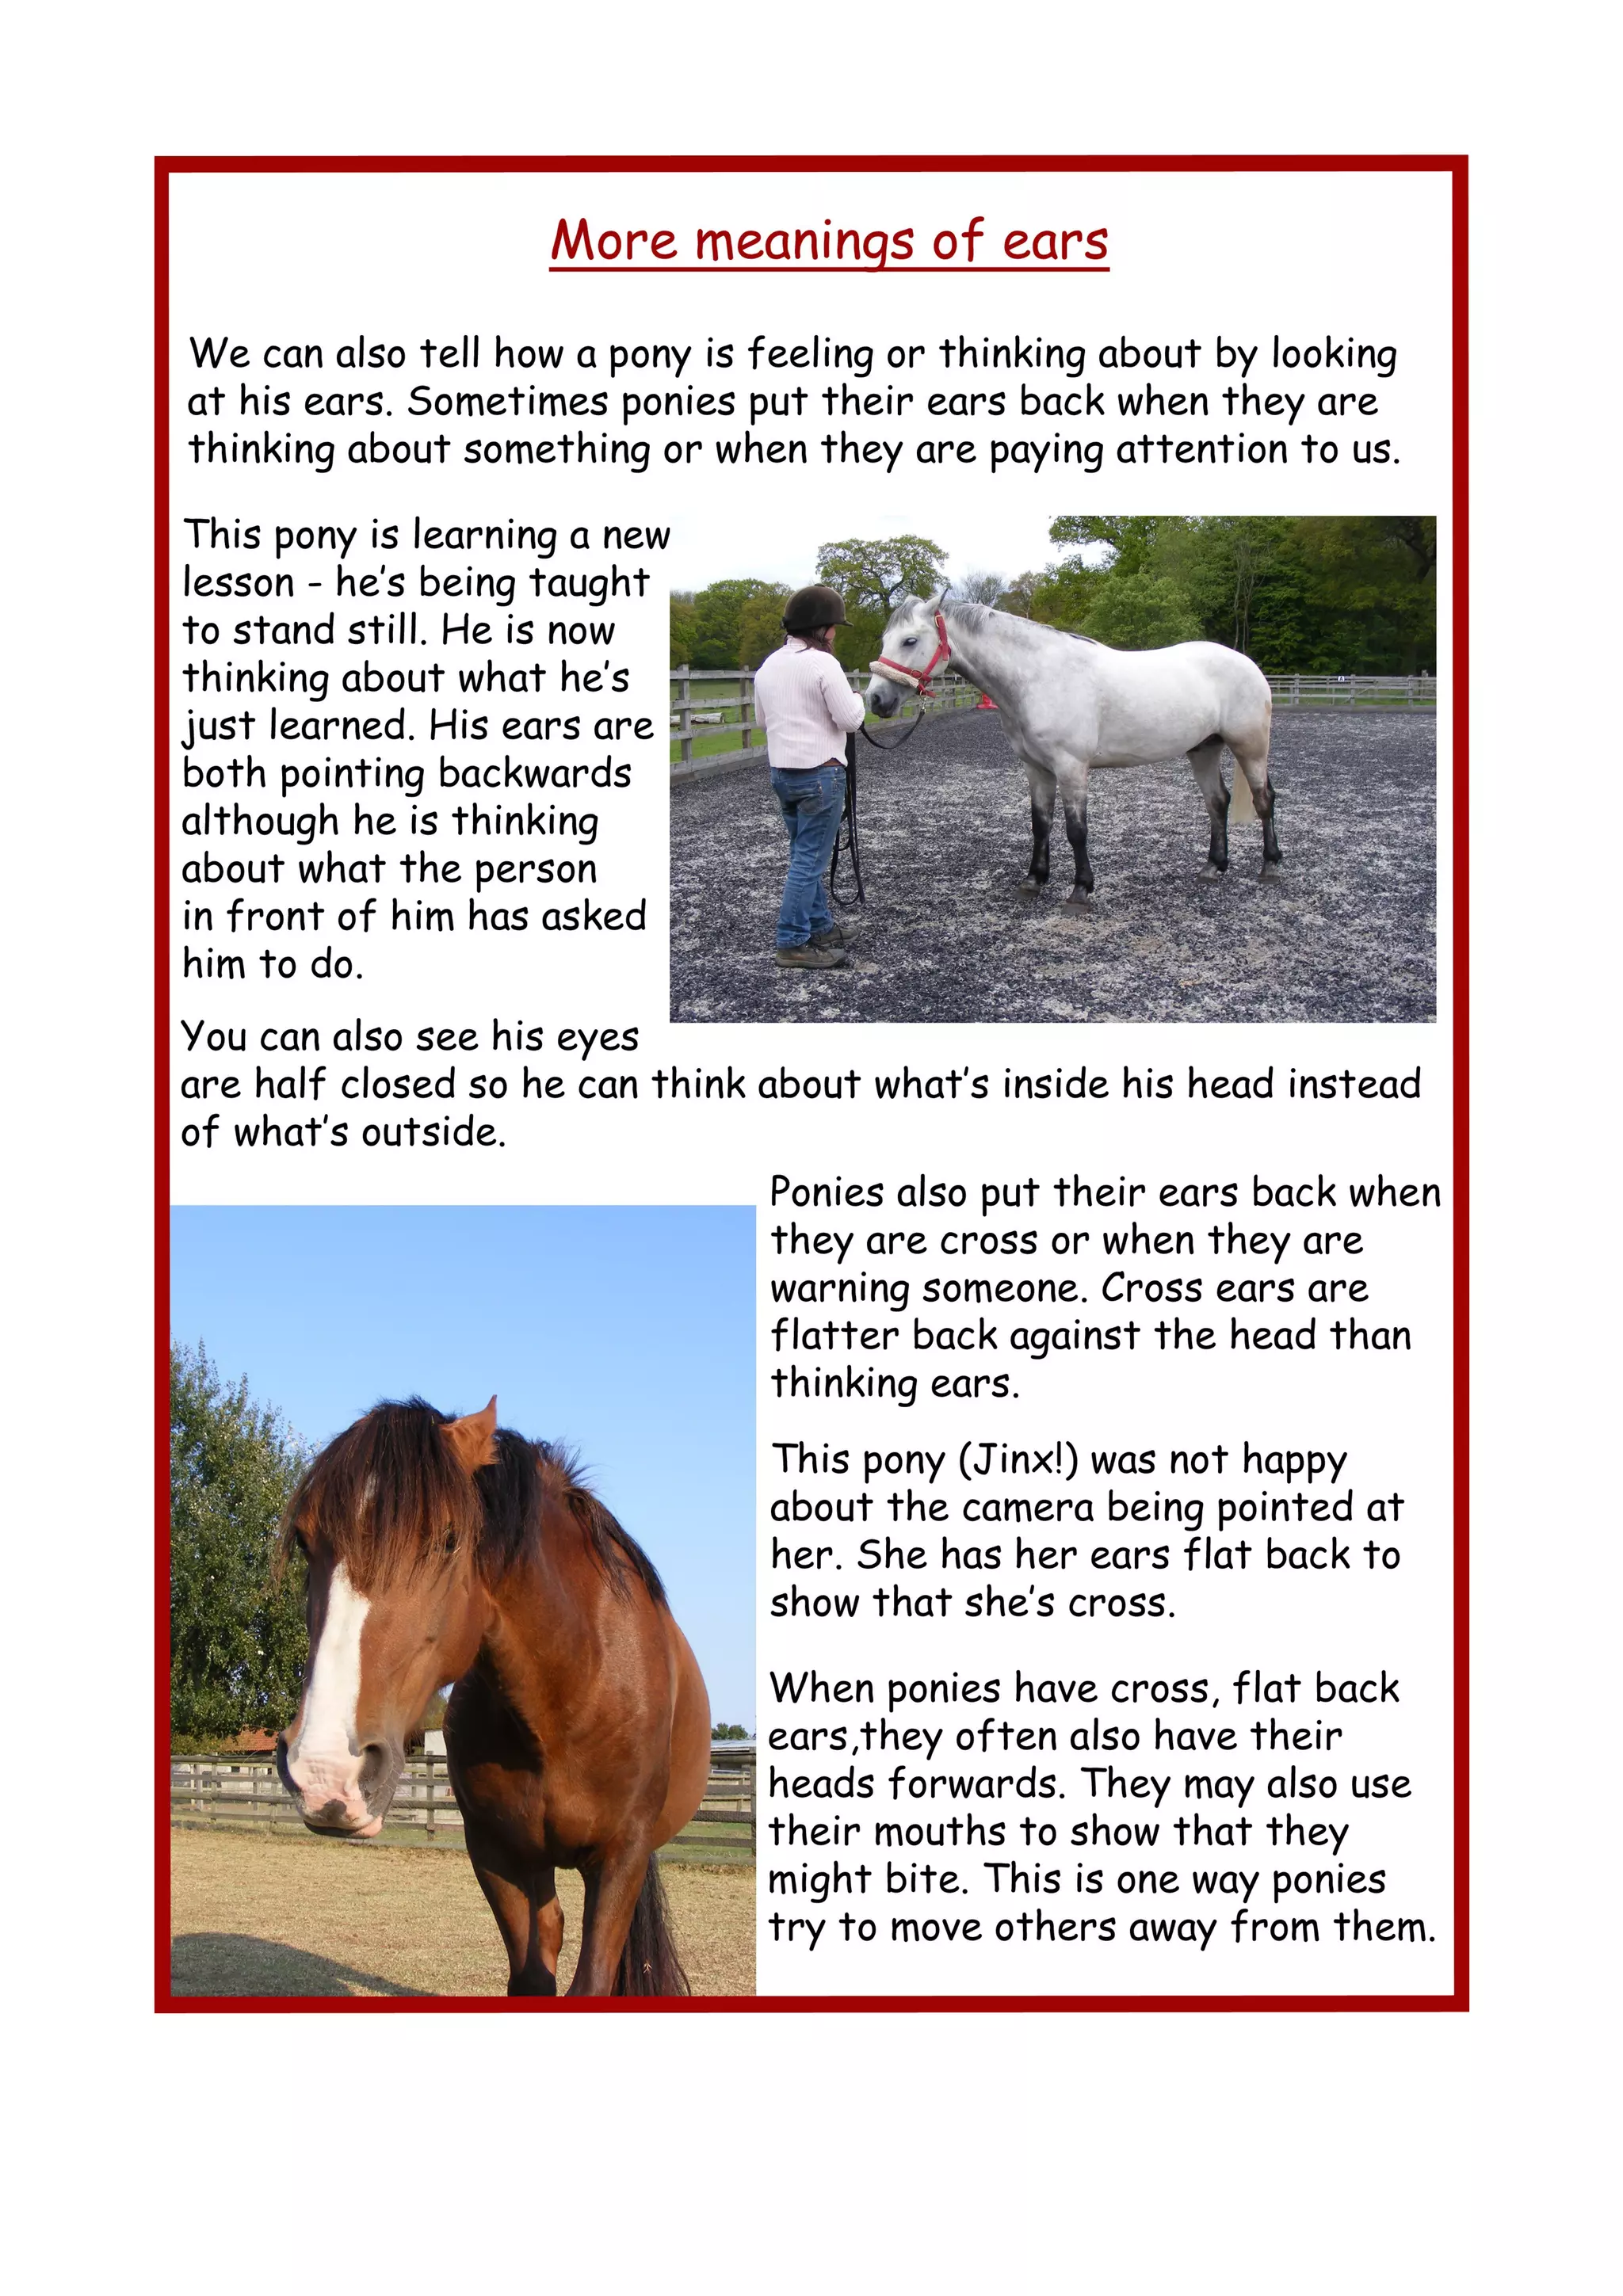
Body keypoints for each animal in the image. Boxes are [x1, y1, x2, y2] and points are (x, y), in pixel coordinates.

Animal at [275, 1396, 712, 1997]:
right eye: (303, 1541)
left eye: (449, 1538)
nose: (324, 1771)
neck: (569, 1696)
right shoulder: (498, 1855)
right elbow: (531, 1976)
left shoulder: (621, 1857)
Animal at [867, 589, 1282, 901]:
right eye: (885, 640)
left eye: (910, 640)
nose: (875, 700)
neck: (1038, 677)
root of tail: (1248, 664)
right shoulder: (1036, 769)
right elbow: (1040, 824)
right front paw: (1033, 880)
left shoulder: (1071, 768)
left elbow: (1075, 829)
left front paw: (1081, 889)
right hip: (1205, 749)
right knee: (1218, 802)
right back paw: (1213, 867)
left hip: (1250, 747)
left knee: (1263, 799)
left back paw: (1270, 866)